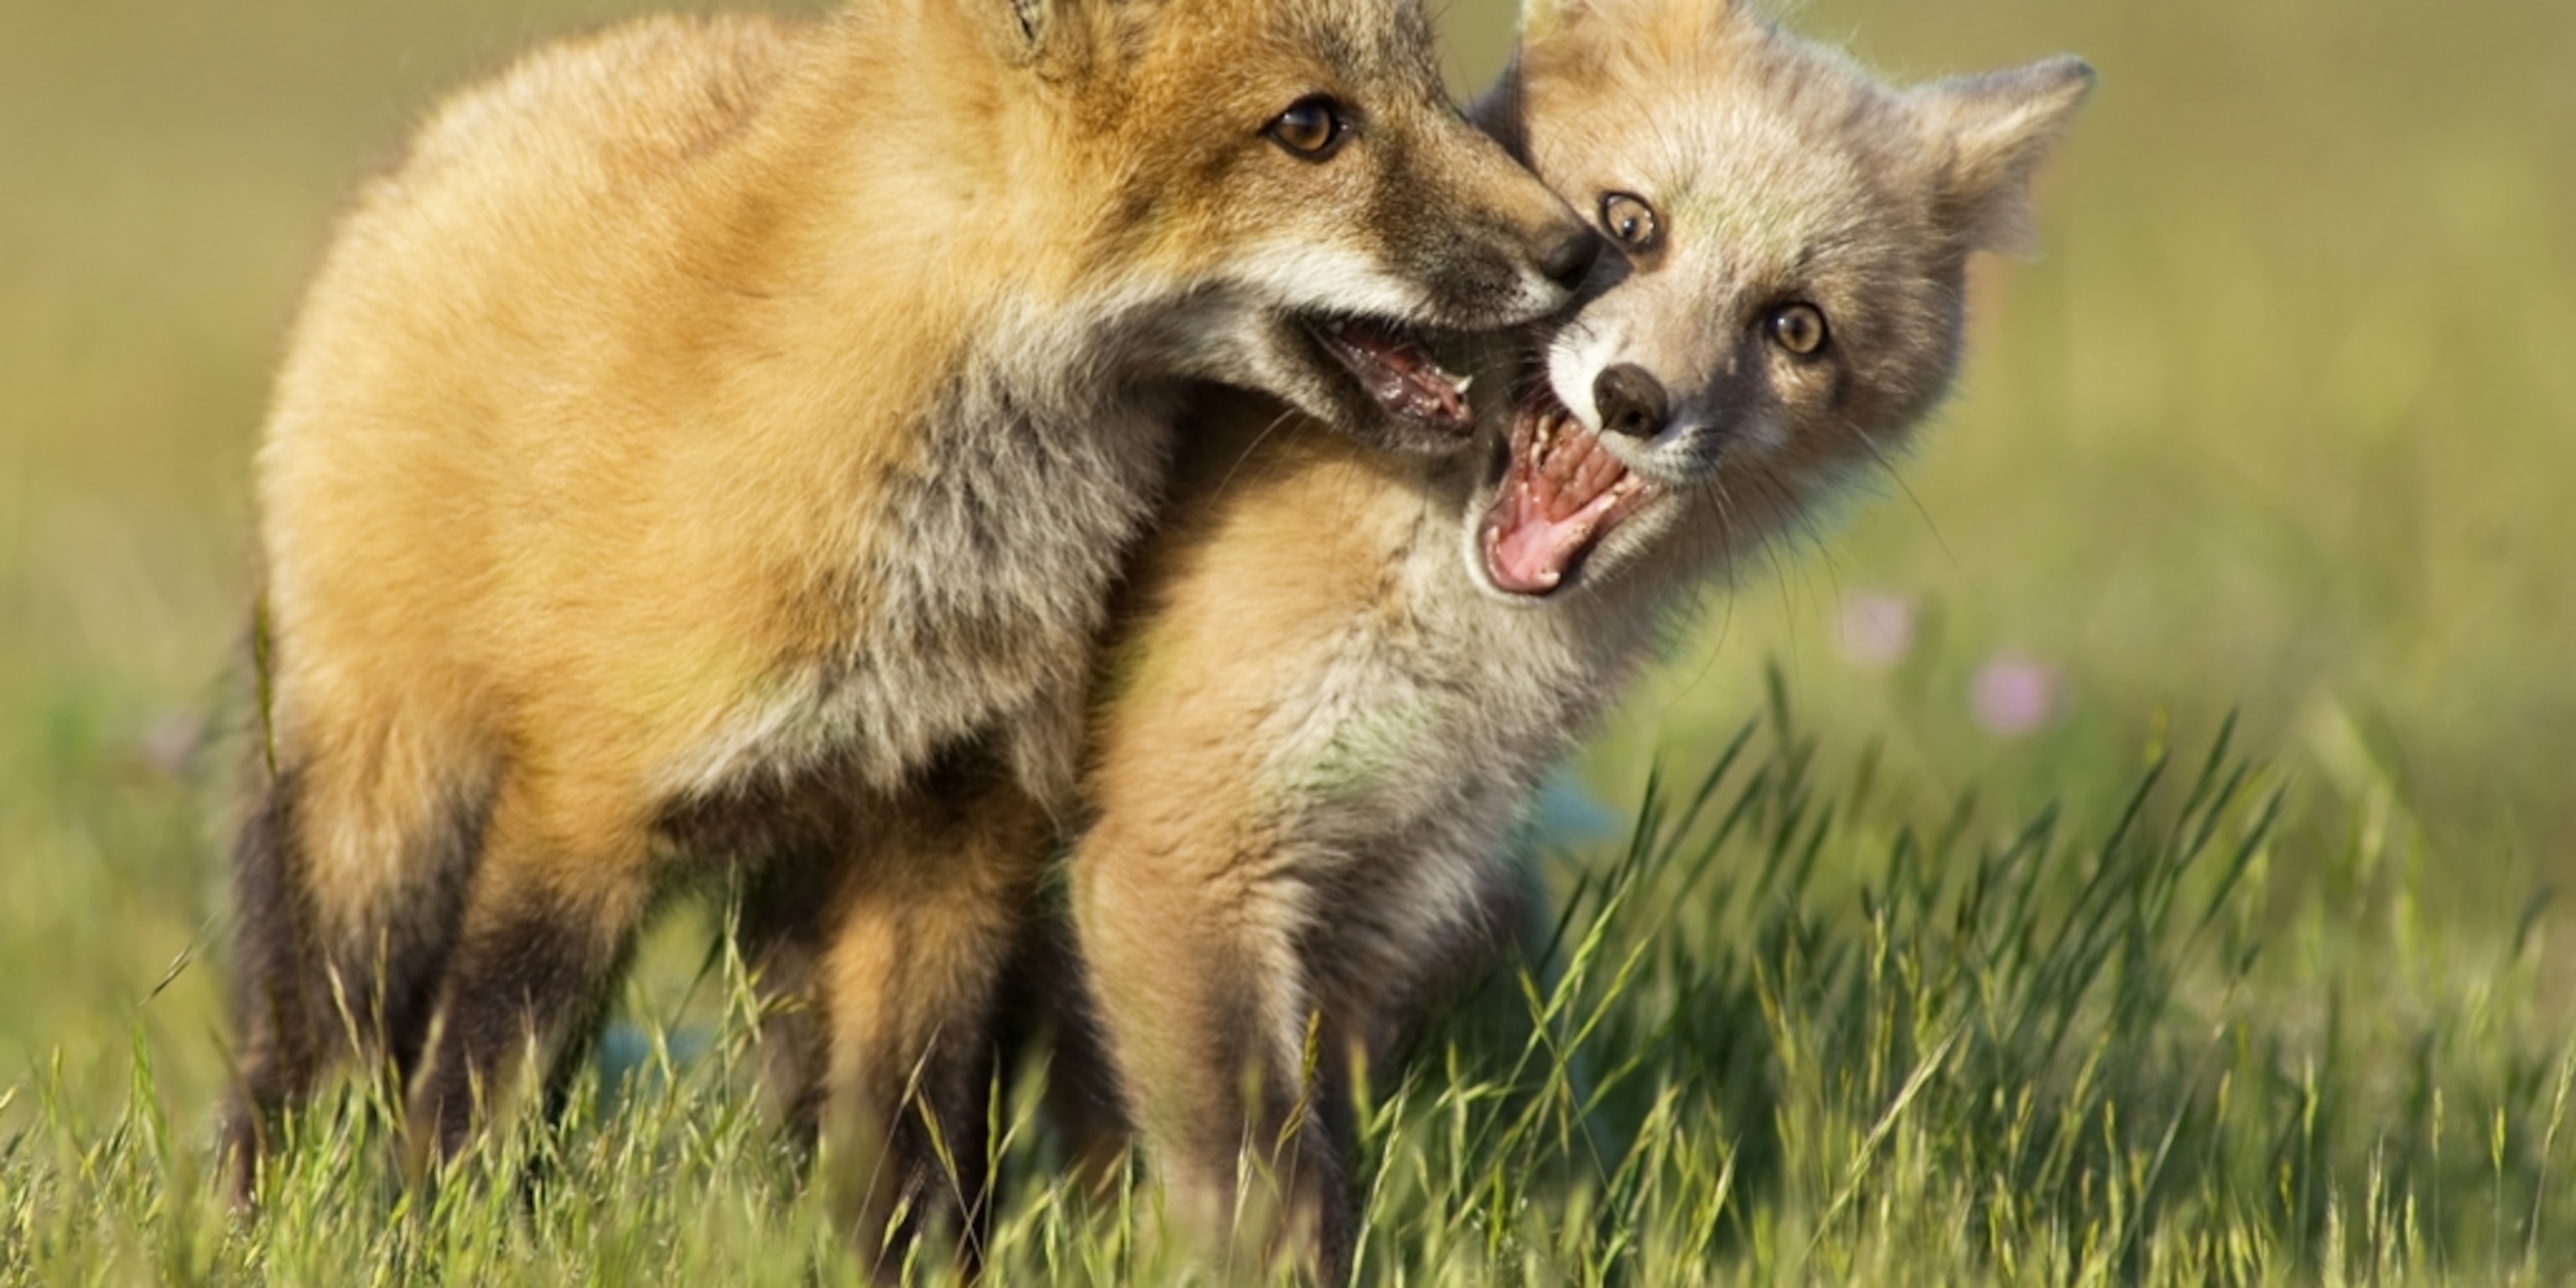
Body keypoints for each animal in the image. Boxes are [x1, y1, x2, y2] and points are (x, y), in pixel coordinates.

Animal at [220, 0, 1597, 1253]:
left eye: (1426, 81)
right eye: (1311, 126)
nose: (1585, 250)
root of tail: (488, 103)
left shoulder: (959, 820)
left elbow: (913, 1136)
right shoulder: (581, 809)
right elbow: (479, 1080)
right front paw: (426, 1241)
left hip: (794, 897)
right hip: (380, 820)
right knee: (307, 1048)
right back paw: (260, 1216)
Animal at [1056, 0, 2093, 1274]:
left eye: (1796, 327)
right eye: (1630, 226)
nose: (1636, 401)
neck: (1461, 663)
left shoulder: (1382, 896)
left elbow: (1323, 1169)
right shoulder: (1179, 857)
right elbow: (1257, 1188)